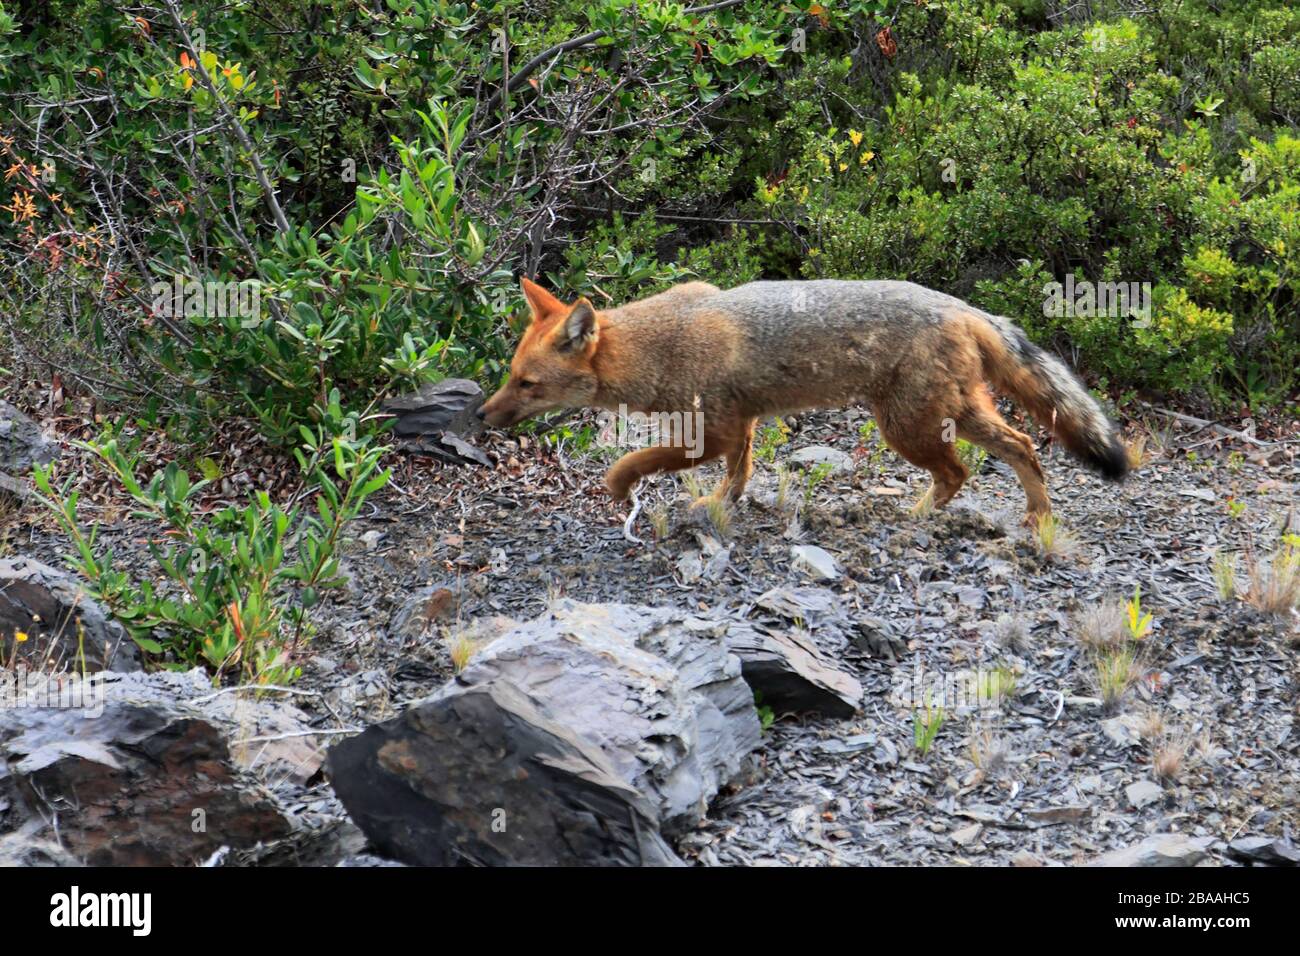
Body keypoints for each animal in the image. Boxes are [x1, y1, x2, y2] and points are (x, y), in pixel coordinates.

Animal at [477, 277, 1128, 525]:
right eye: (511, 376)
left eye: (527, 384)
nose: (481, 414)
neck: (661, 342)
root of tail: (961, 305)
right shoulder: (741, 426)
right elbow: (737, 476)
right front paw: (720, 506)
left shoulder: (711, 433)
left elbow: (635, 461)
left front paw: (618, 488)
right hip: (952, 416)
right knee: (1021, 448)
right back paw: (1037, 518)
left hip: (906, 429)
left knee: (962, 470)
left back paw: (917, 516)